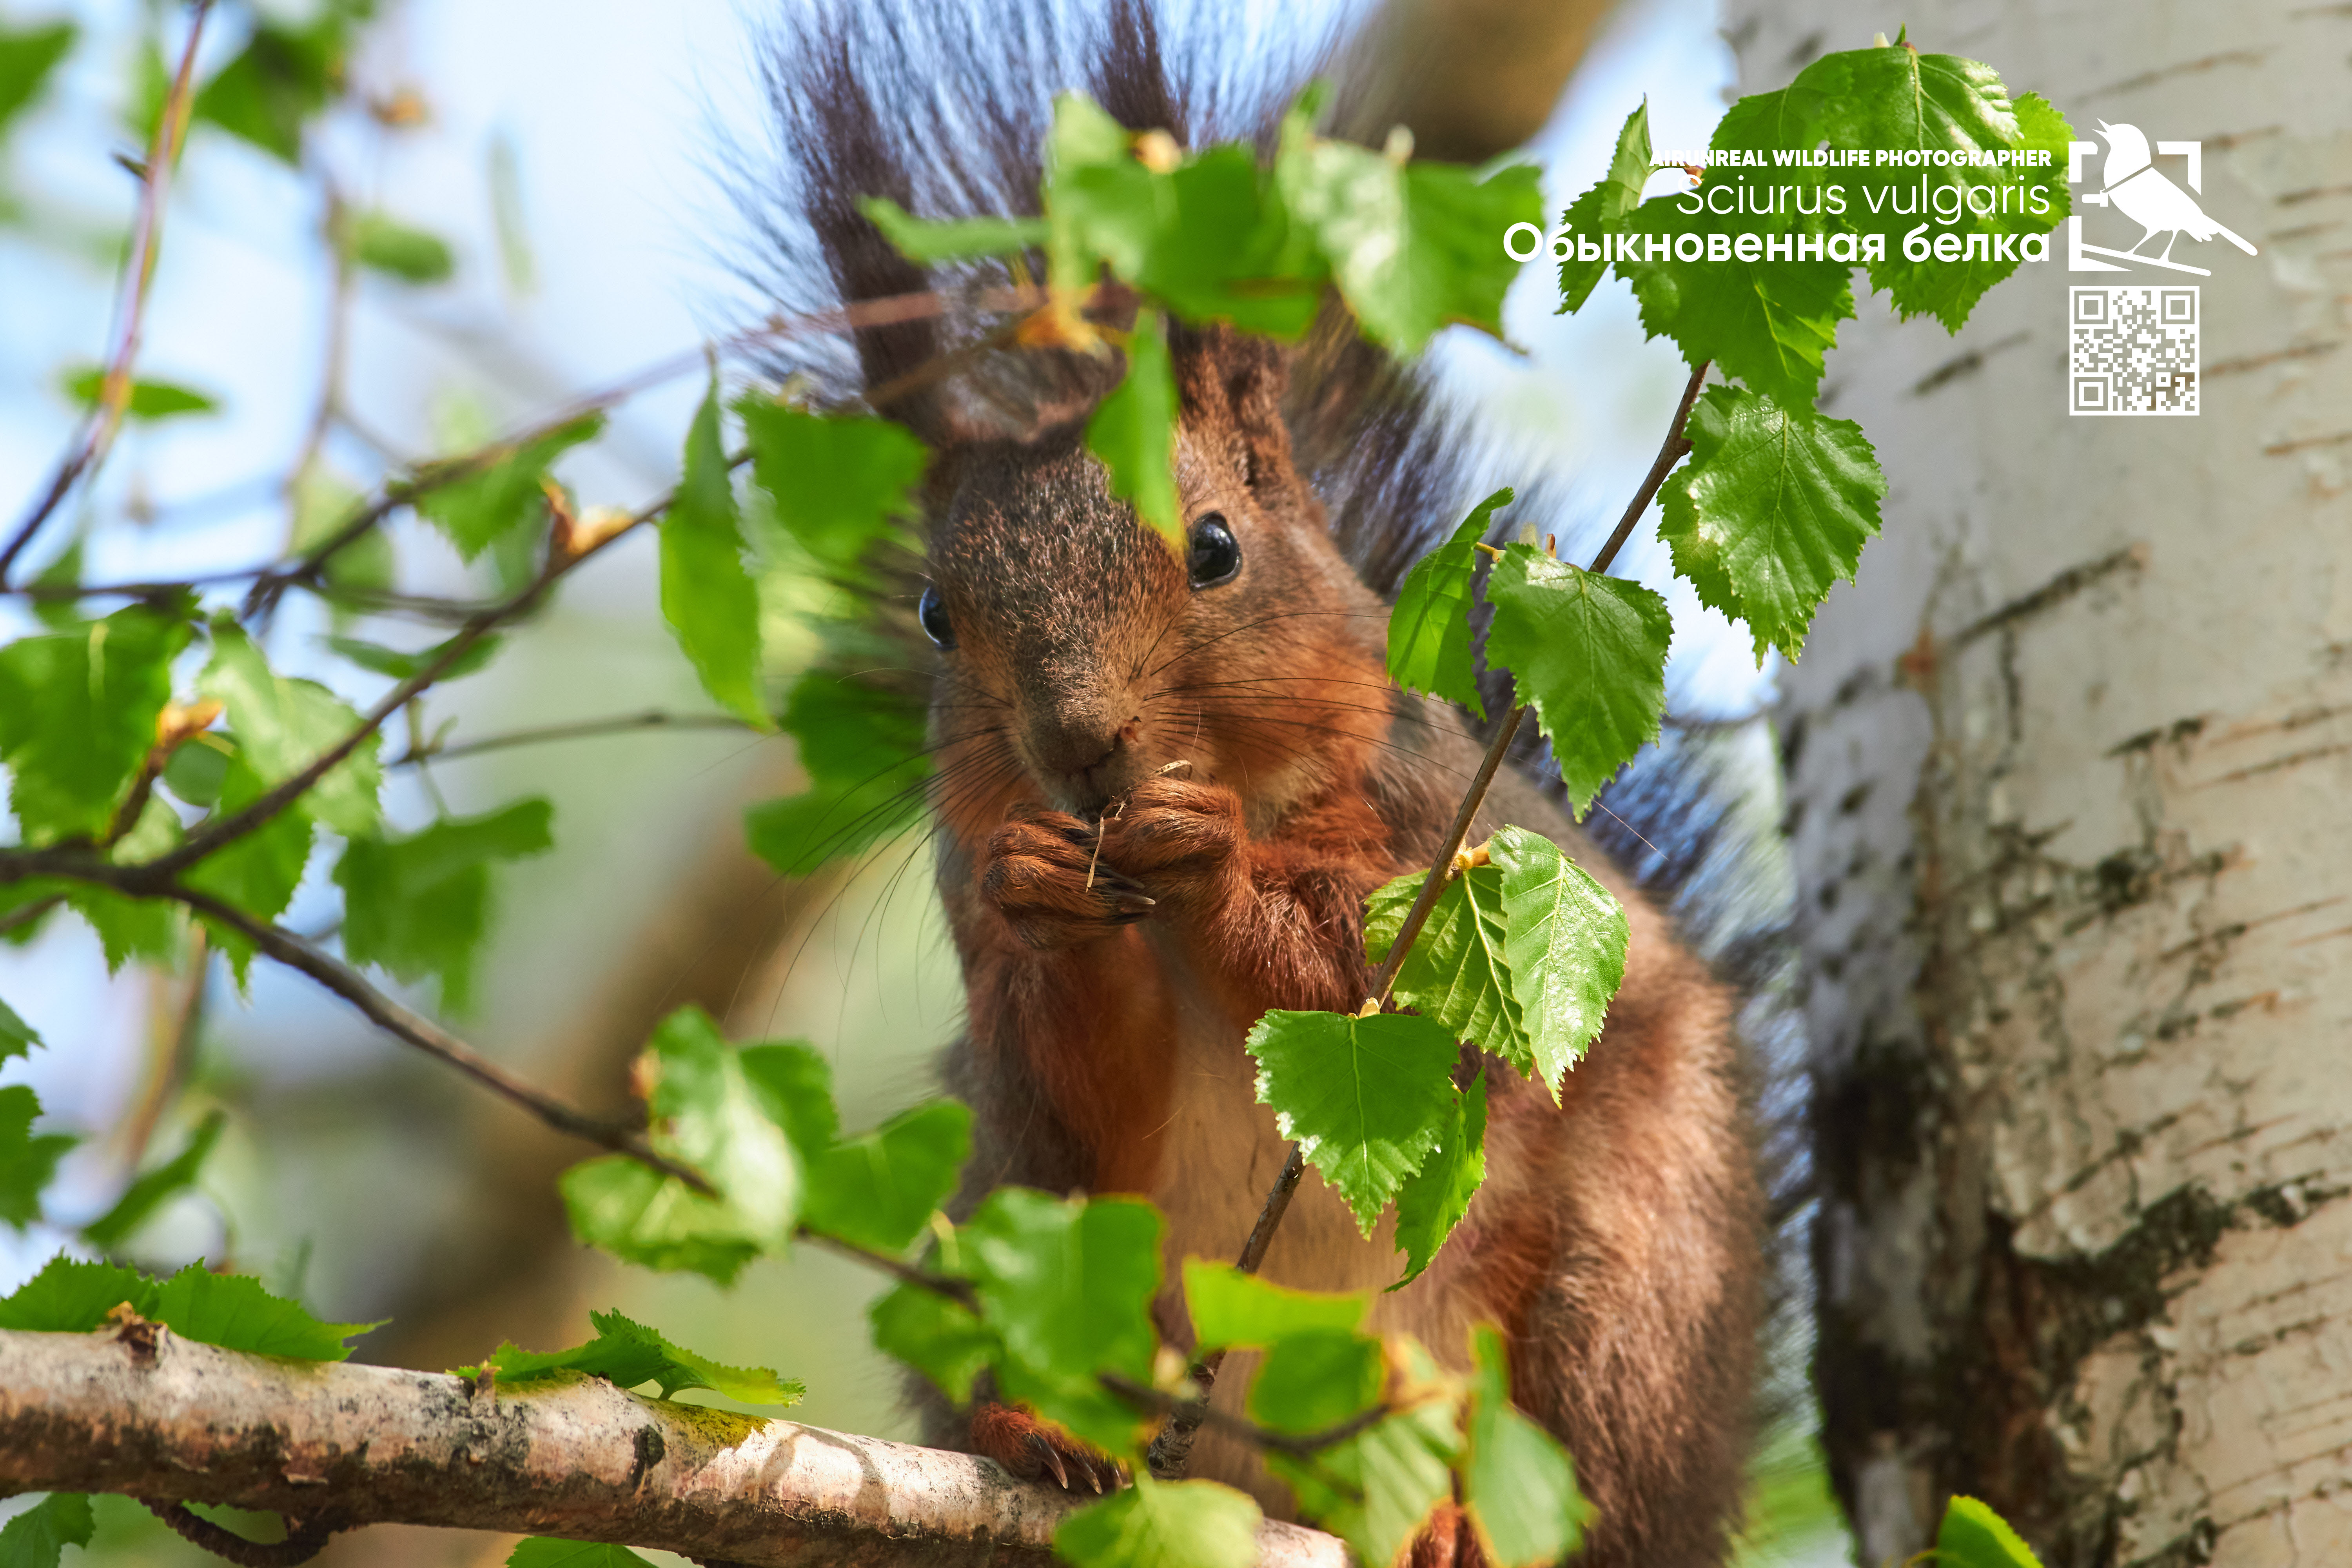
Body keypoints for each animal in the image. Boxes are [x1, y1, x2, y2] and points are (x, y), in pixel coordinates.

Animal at [753, 6, 1769, 1561]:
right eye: (935, 613)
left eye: (1219, 548)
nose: (1080, 743)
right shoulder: (986, 951)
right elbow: (1076, 1098)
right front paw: (1049, 893)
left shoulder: (1450, 850)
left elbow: (1399, 1010)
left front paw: (1215, 862)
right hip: (1005, 1236)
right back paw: (1040, 1432)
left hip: (1633, 1289)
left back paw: (1463, 1519)